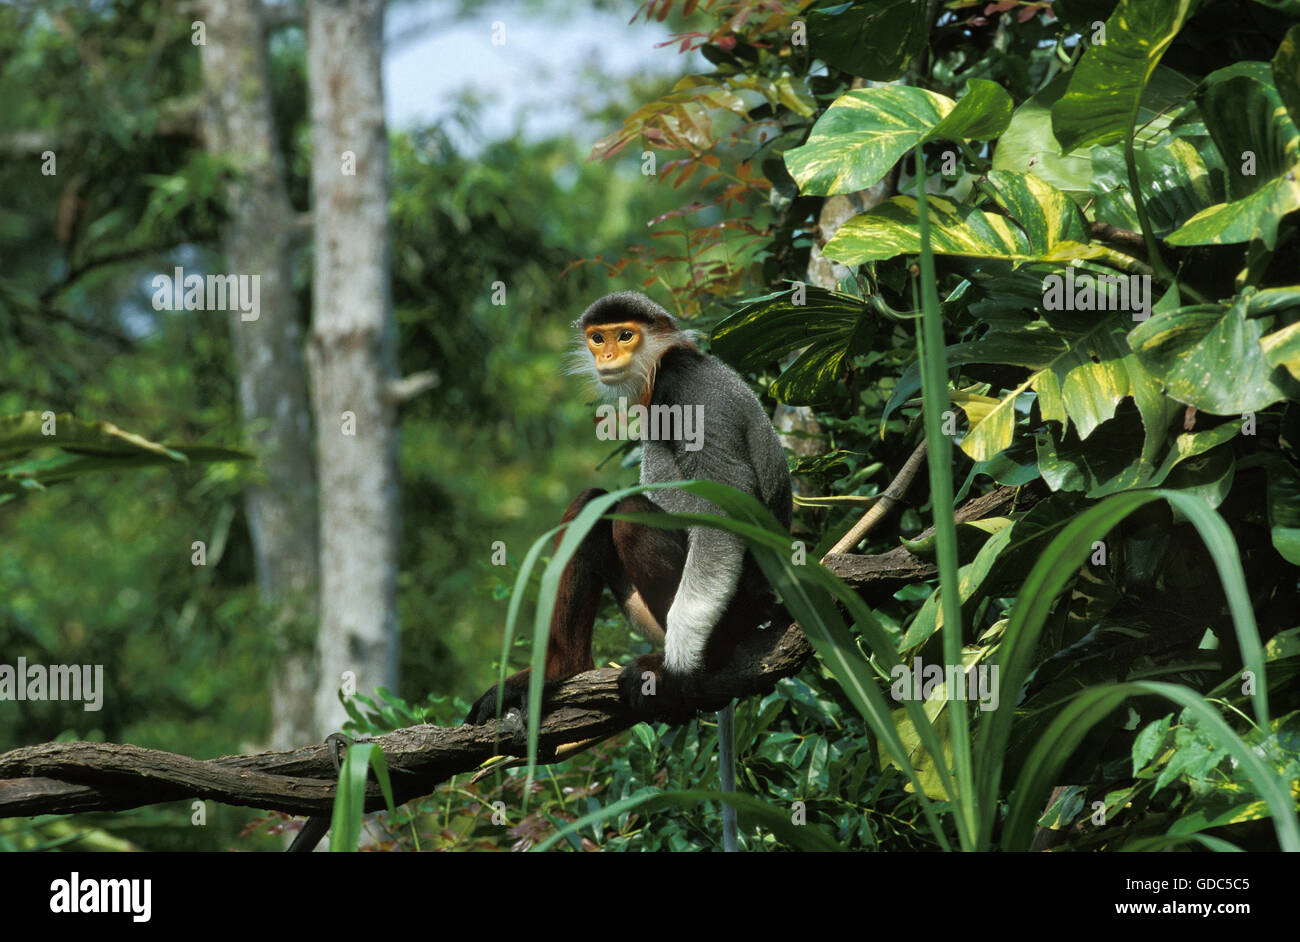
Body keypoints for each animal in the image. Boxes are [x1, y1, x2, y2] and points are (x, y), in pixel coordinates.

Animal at [465, 291, 792, 725]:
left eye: (625, 335)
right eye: (598, 338)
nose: (607, 356)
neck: (663, 362)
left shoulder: (688, 388)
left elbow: (724, 514)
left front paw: (677, 668)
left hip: (732, 608)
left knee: (632, 516)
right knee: (593, 506)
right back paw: (559, 671)